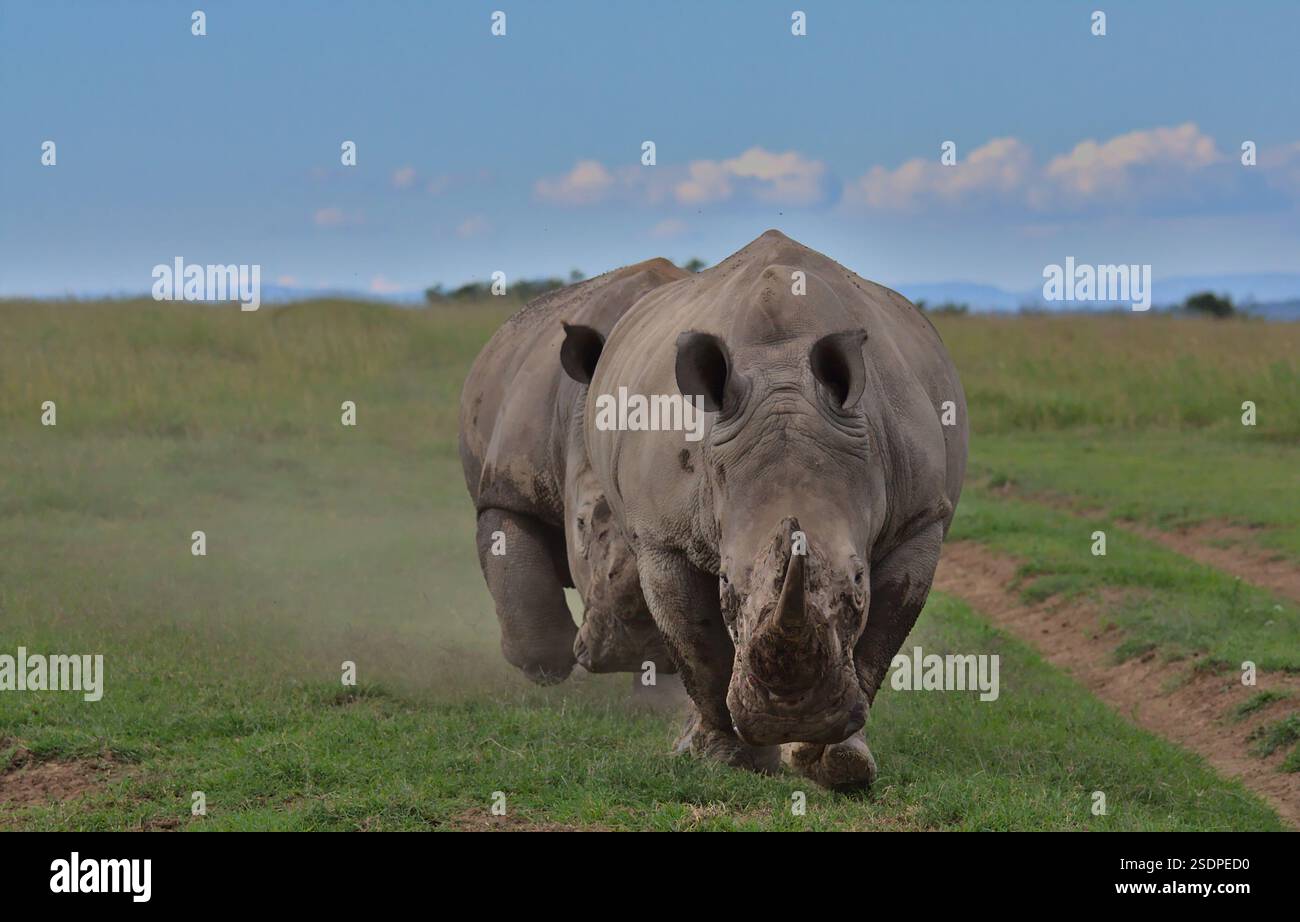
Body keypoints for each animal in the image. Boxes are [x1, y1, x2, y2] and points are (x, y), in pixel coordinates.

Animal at [561, 230, 968, 788]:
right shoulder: (662, 535)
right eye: (727, 587)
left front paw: (839, 762)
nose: (792, 715)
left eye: (857, 583)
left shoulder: (920, 520)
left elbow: (880, 641)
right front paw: (730, 757)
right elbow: (697, 644)